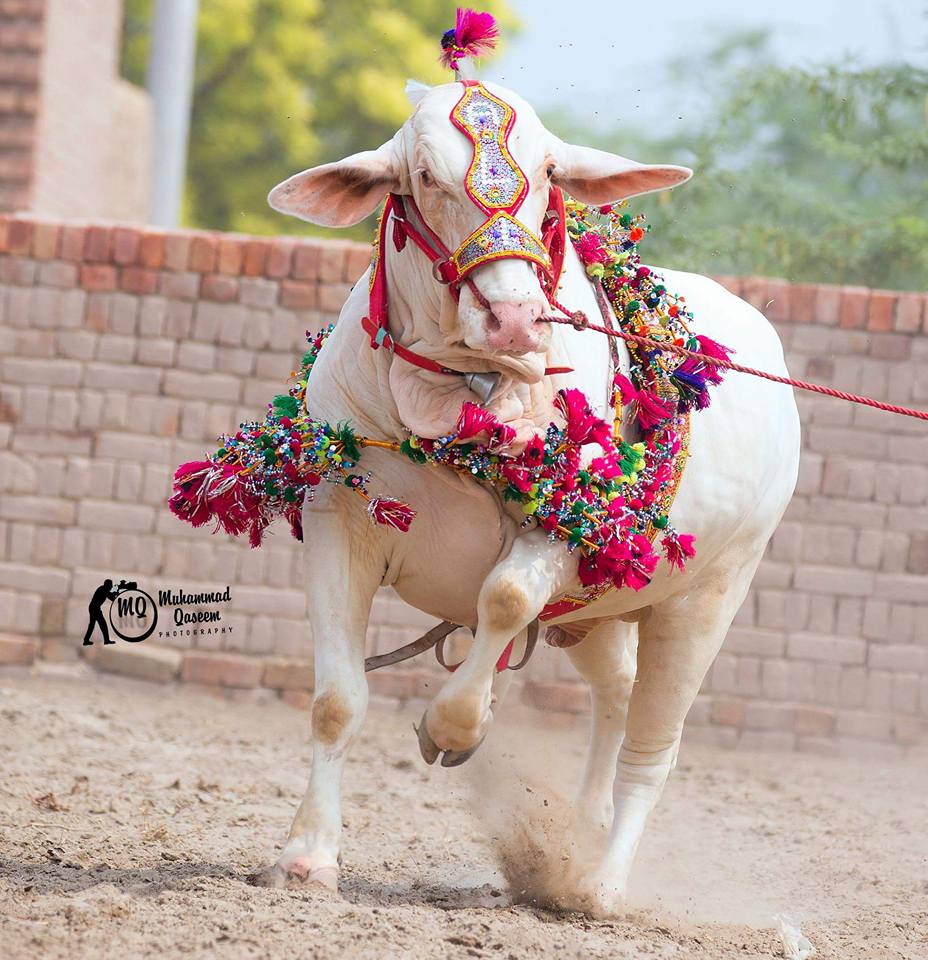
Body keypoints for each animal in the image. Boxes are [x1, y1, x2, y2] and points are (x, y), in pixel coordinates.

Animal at [253, 77, 801, 918]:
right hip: (603, 609)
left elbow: (504, 601)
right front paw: (308, 856)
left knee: (653, 746)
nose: (511, 317)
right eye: (424, 177)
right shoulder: (339, 518)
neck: (460, 400)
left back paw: (601, 883)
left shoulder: (563, 525)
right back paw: (584, 825)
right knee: (618, 693)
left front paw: (453, 729)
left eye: (547, 172)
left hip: (707, 598)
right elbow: (337, 700)